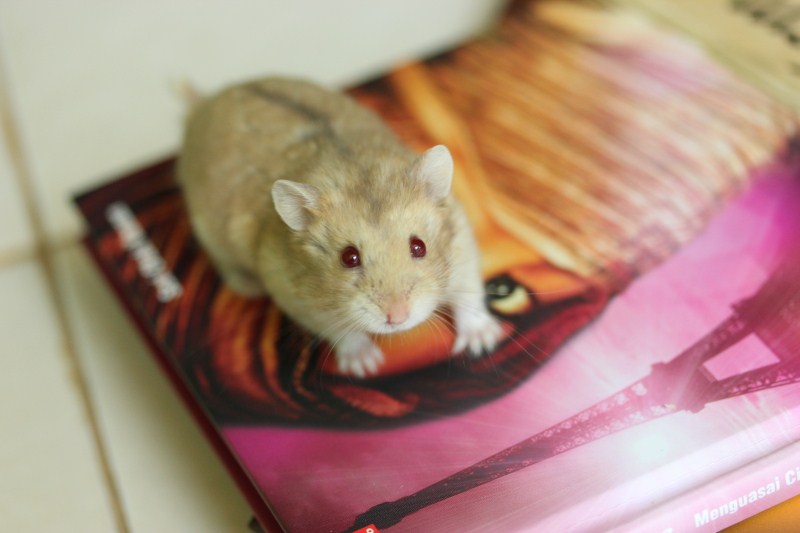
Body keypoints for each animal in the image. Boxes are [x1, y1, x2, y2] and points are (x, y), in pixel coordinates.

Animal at [178, 77, 502, 377]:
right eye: (349, 258)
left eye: (419, 246)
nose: (398, 318)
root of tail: (204, 105)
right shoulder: (295, 297)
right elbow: (341, 331)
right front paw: (366, 366)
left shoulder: (462, 245)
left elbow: (468, 294)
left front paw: (483, 342)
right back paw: (249, 288)